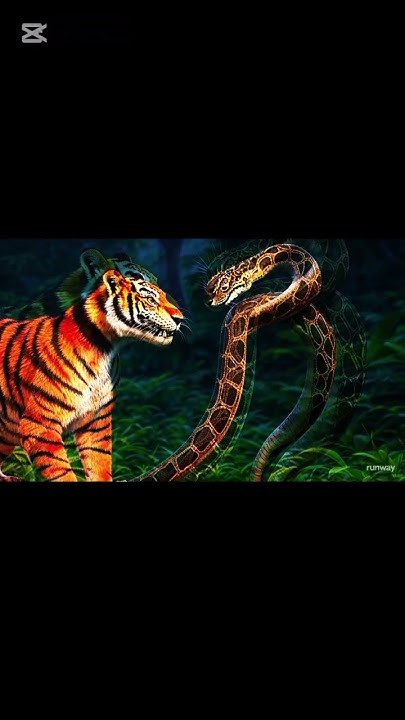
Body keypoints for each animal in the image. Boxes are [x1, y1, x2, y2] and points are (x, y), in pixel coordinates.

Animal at [0, 253, 184, 482]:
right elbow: (63, 471)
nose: (180, 318)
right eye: (149, 299)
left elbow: (99, 463)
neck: (106, 349)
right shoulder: (41, 423)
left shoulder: (97, 421)